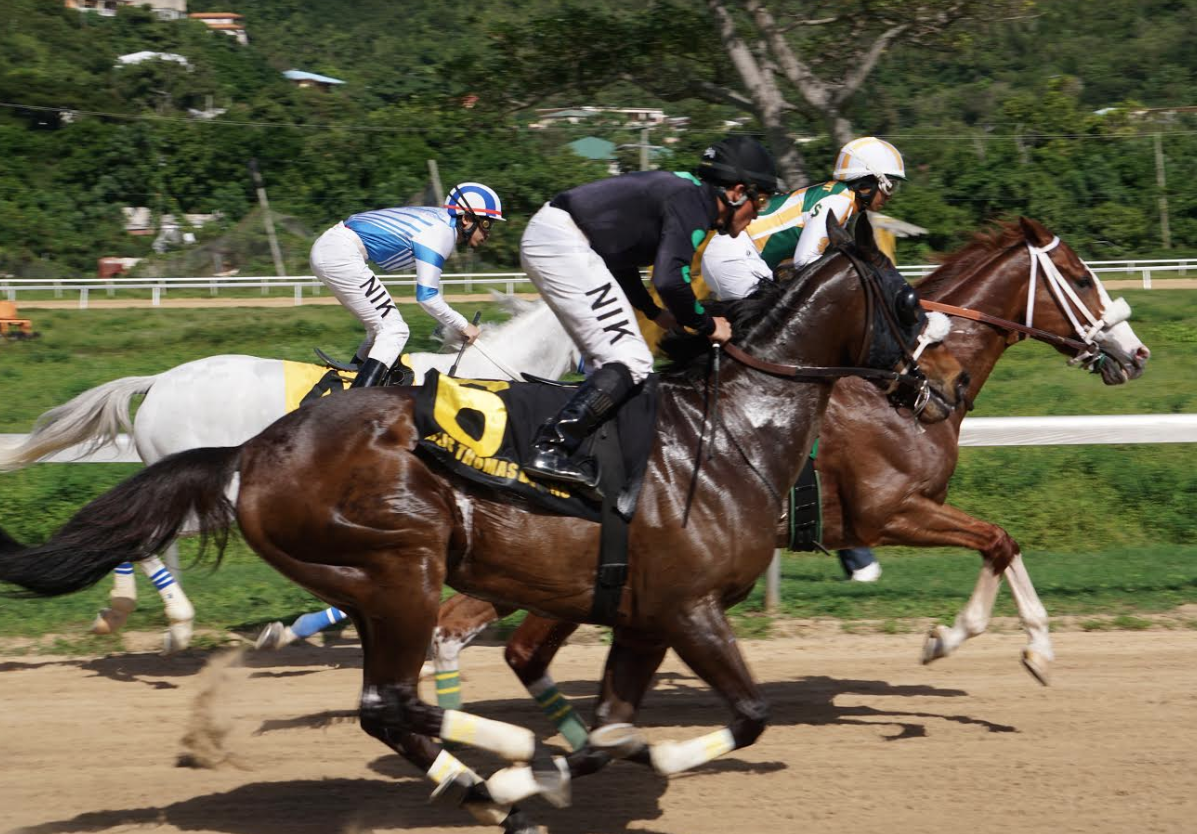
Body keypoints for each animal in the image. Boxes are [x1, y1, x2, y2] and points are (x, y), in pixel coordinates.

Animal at [0, 294, 580, 653]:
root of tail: (159, 380)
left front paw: (295, 629)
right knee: (143, 536)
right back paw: (173, 621)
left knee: (132, 528)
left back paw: (120, 613)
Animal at [420, 216, 1151, 748]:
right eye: (1081, 278)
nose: (1136, 353)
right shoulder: (889, 511)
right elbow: (998, 540)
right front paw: (999, 646)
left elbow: (1001, 543)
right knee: (471, 635)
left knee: (470, 633)